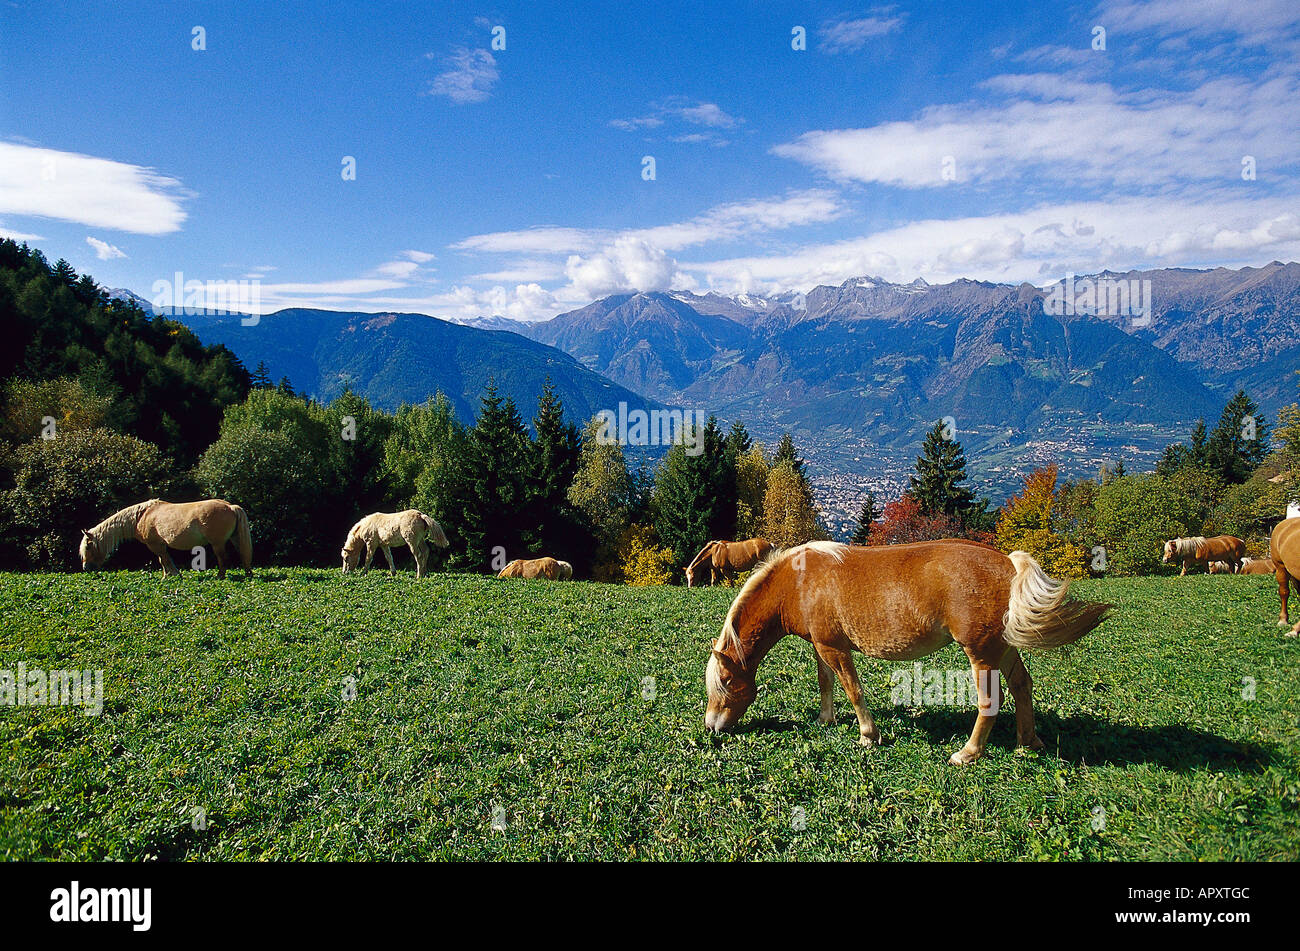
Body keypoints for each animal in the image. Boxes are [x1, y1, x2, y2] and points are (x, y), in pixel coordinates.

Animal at [79, 499, 252, 579]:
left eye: (88, 546)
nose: (85, 567)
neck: (141, 516)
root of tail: (230, 507)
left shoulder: (154, 544)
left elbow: (164, 560)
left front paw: (172, 575)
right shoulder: (159, 545)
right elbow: (163, 560)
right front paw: (167, 576)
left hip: (218, 544)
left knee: (223, 558)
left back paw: (220, 576)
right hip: (234, 539)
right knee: (243, 553)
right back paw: (247, 574)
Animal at [704, 540, 1112, 765]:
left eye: (725, 680)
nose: (712, 727)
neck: (799, 580)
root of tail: (1008, 563)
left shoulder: (835, 648)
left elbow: (853, 690)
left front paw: (869, 735)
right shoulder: (823, 646)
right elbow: (826, 683)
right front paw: (825, 719)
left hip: (981, 653)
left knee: (990, 701)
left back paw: (968, 753)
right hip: (1005, 647)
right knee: (1022, 686)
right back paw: (1027, 743)